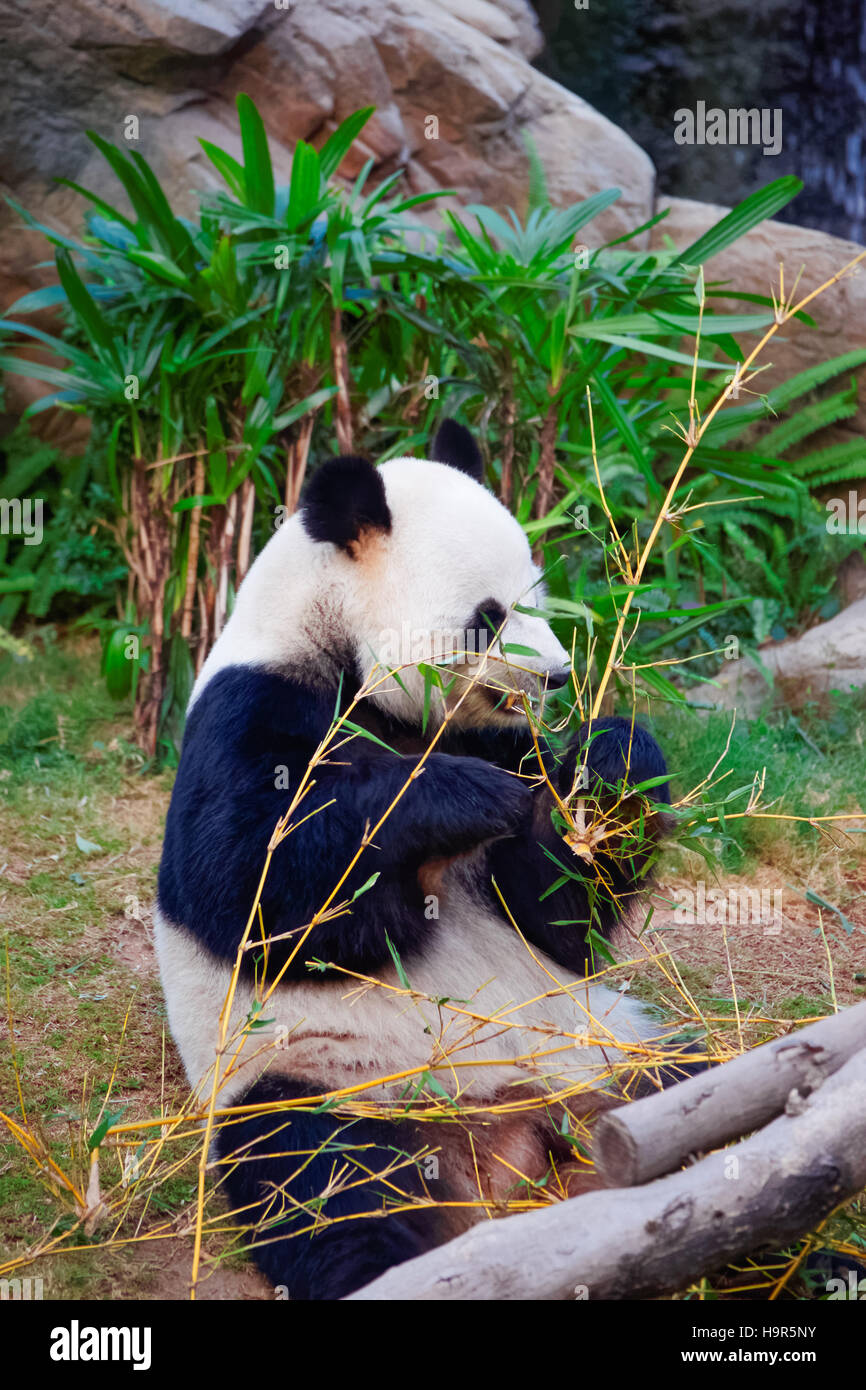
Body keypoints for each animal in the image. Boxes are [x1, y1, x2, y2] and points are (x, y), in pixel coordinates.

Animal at [155, 419, 682, 1301]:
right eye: (488, 615)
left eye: (538, 595)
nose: (558, 675)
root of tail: (510, 1148)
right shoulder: (250, 709)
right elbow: (254, 890)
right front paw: (462, 798)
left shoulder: (509, 741)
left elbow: (556, 920)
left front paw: (613, 759)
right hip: (332, 1085)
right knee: (331, 1196)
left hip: (611, 1053)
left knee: (691, 1087)